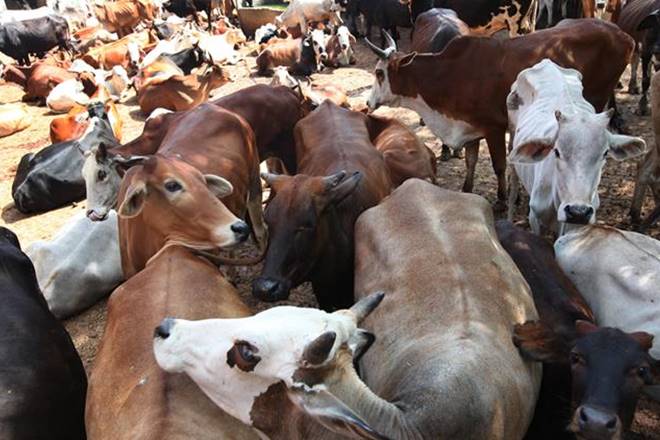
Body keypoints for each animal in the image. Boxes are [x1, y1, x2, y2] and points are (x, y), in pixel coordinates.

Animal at [367, 19, 634, 210]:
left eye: (379, 73)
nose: (368, 102)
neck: (450, 74)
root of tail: (623, 34)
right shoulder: (469, 126)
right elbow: (471, 161)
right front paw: (466, 188)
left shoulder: (493, 128)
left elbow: (498, 165)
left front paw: (502, 199)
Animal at [506, 59, 646, 235]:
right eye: (556, 151)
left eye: (605, 153)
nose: (578, 212)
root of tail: (546, 63)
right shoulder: (535, 219)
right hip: (512, 140)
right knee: (513, 188)